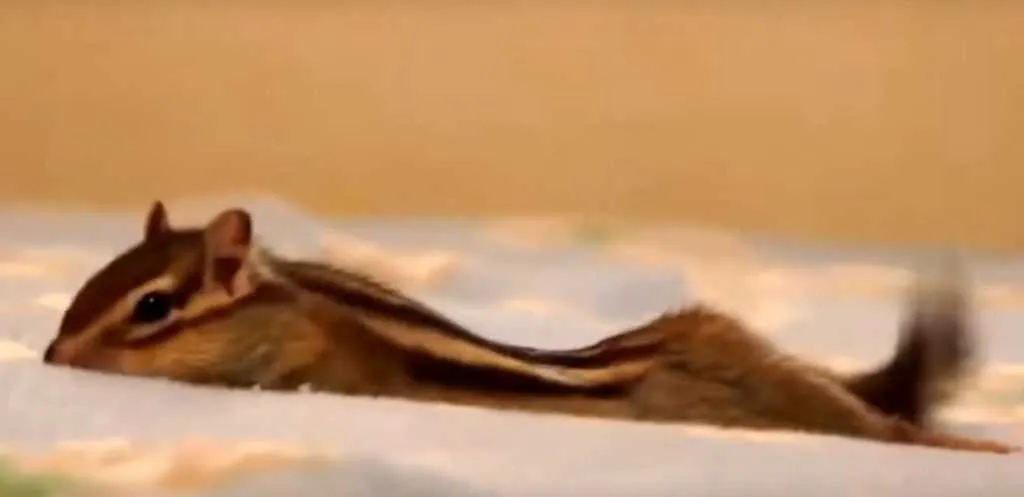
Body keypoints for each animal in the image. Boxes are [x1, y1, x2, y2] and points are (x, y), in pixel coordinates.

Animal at [42, 201, 1017, 454]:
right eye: (84, 290)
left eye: (152, 306)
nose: (50, 355)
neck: (289, 305)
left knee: (885, 427)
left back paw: (967, 445)